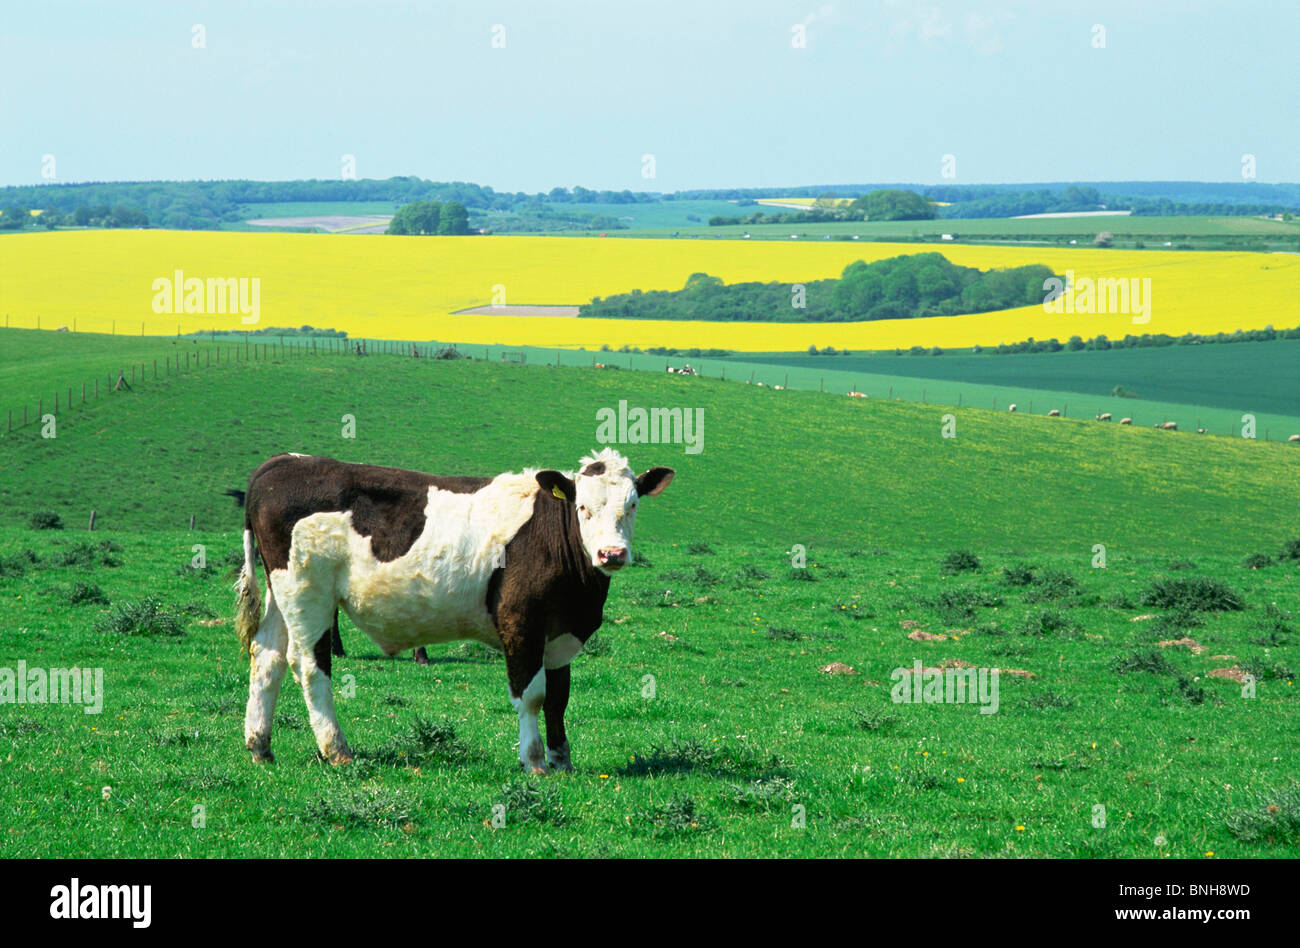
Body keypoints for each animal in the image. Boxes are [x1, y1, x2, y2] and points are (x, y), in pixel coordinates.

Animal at [231, 448, 674, 773]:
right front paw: (534, 762)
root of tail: (284, 461)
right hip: (309, 592)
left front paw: (561, 761)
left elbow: (558, 698)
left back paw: (260, 746)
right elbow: (532, 696)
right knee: (309, 664)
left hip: (281, 594)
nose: (611, 553)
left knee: (267, 657)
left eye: (633, 504)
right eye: (583, 507)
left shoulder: (559, 631)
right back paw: (336, 749)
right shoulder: (522, 623)